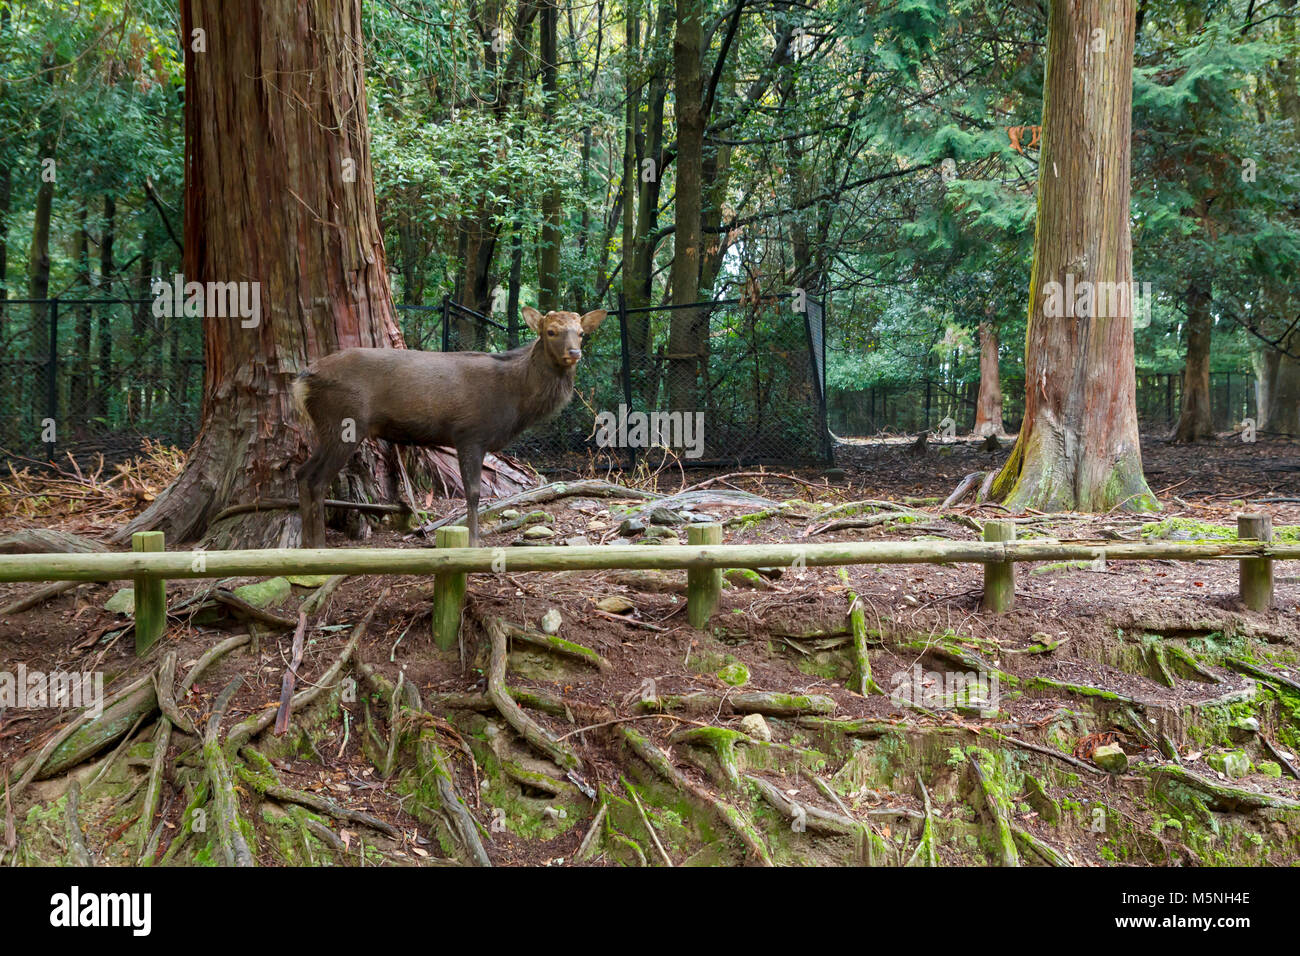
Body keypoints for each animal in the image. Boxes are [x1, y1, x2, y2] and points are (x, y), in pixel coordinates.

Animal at [293, 305, 608, 548]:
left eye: (581, 332)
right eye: (550, 331)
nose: (574, 352)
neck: (516, 401)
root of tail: (303, 379)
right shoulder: (470, 433)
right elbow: (474, 492)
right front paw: (474, 541)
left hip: (330, 428)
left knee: (301, 473)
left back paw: (308, 544)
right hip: (345, 422)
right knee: (316, 479)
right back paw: (317, 545)